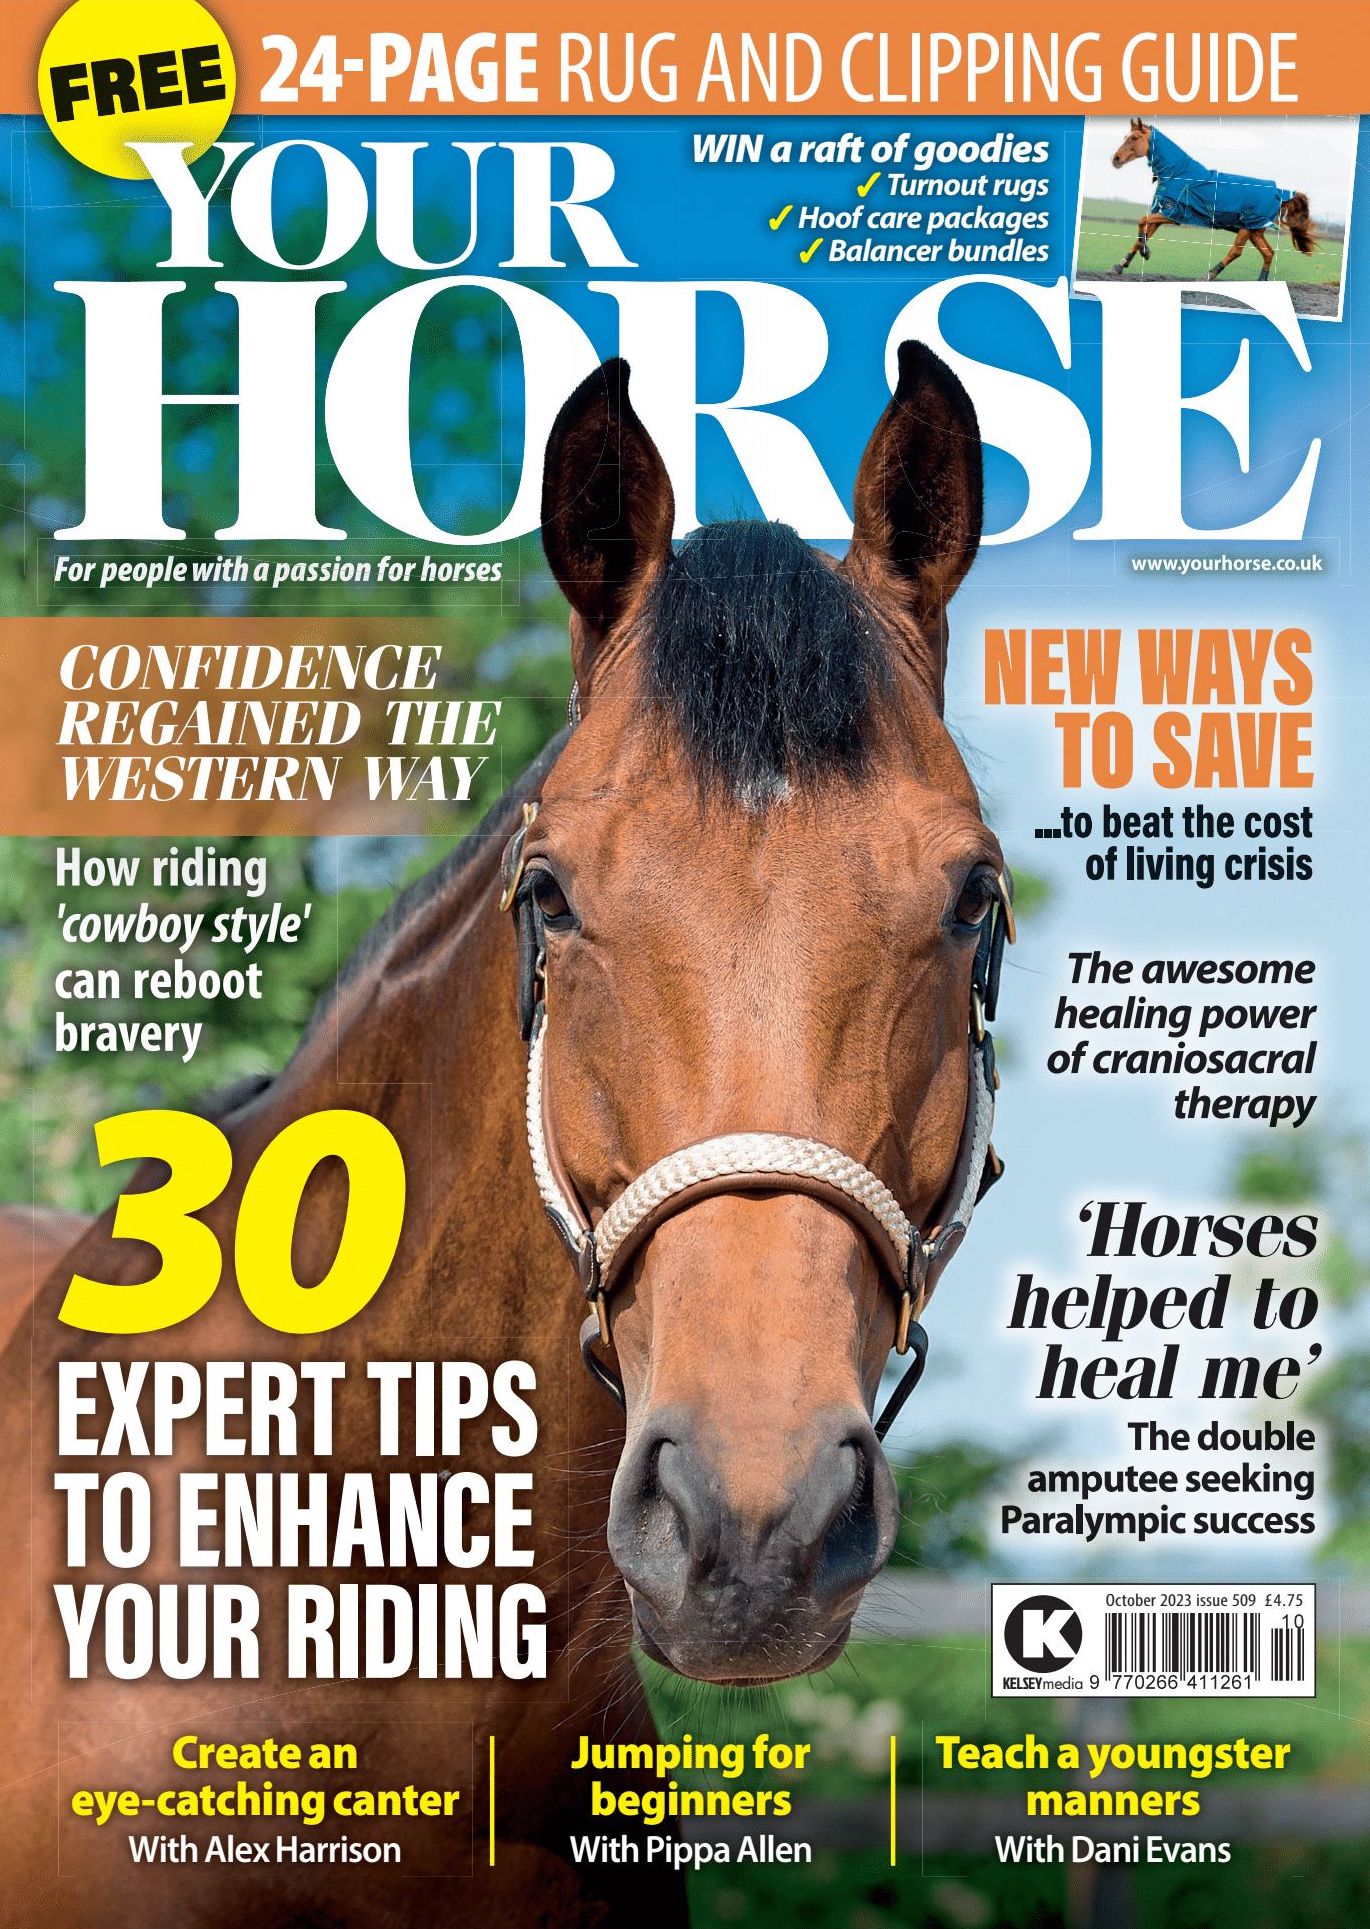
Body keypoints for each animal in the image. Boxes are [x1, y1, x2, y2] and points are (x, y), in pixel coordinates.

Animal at [1109, 116, 1316, 281]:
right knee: (1268, 253)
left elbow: (1141, 221)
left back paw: (1208, 275)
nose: (1115, 159)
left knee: (1236, 251)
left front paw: (1146, 253)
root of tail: (1279, 191)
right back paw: (1260, 281)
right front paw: (1120, 265)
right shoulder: (1162, 212)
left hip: (1247, 227)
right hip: (1255, 230)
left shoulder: (1173, 214)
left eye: (1135, 138)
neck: (1179, 174)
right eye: (1125, 137)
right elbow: (1144, 231)